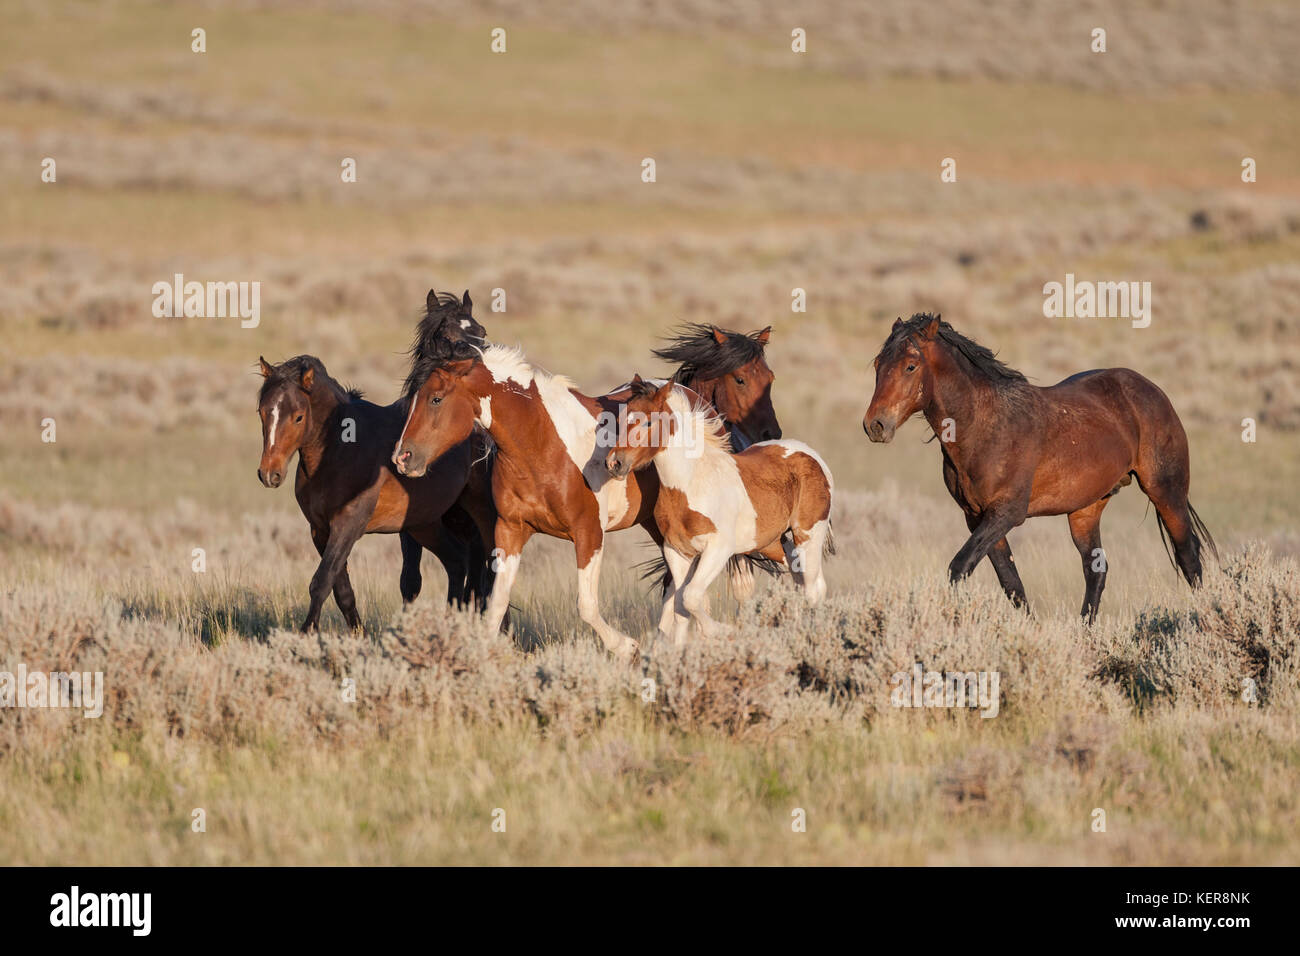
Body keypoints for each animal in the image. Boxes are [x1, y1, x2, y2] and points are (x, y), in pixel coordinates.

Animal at [257, 354, 479, 632]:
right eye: (261, 412)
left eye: (298, 417)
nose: (269, 474)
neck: (340, 448)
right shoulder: (320, 529)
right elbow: (341, 589)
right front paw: (358, 635)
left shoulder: (348, 524)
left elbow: (321, 582)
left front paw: (306, 633)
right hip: (426, 524)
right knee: (457, 563)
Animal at [605, 378, 834, 645]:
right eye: (621, 420)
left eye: (649, 421)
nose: (615, 463)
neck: (693, 481)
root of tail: (813, 456)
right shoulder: (677, 552)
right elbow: (680, 605)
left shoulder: (718, 549)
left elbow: (691, 597)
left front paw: (726, 632)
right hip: (771, 542)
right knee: (801, 579)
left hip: (808, 534)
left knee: (813, 588)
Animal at [862, 313, 1216, 622]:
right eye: (878, 364)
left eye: (910, 365)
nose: (875, 425)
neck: (984, 427)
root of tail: (1151, 389)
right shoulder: (976, 516)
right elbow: (1011, 584)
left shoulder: (1007, 513)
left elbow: (959, 567)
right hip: (1085, 511)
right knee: (1096, 572)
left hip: (1165, 492)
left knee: (1189, 559)